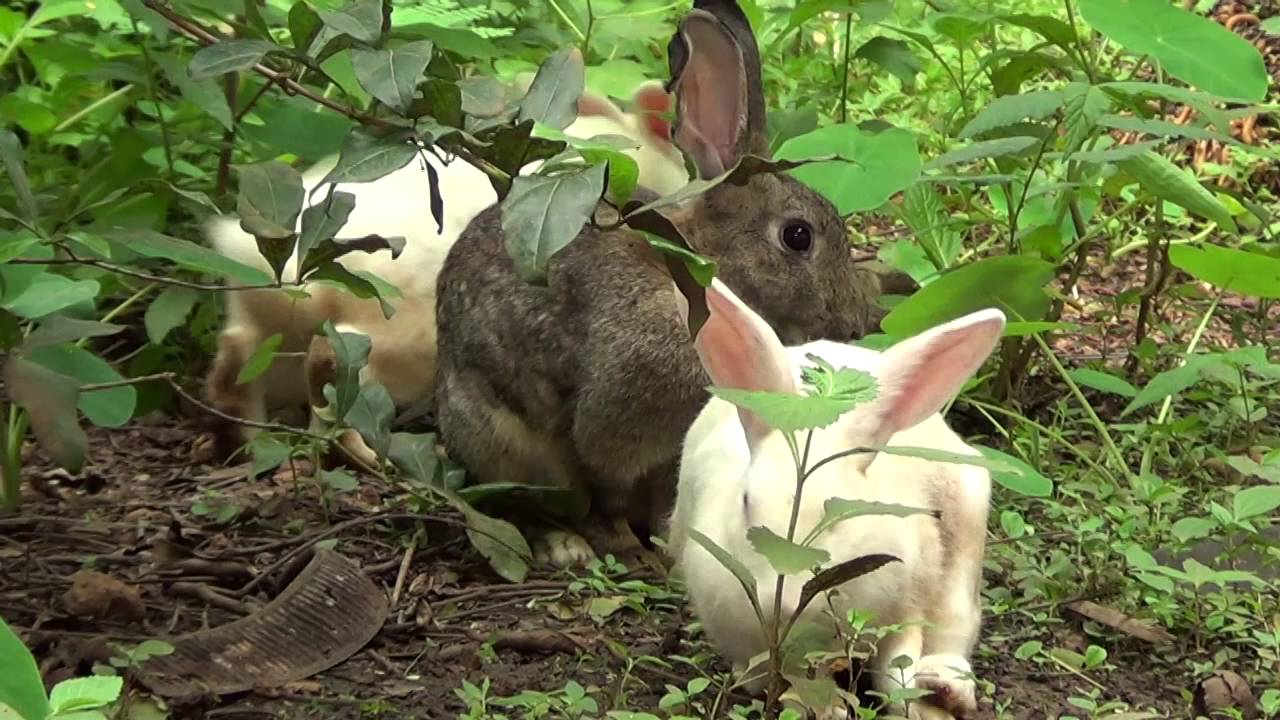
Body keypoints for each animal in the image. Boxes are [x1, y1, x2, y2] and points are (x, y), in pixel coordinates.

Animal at [202, 81, 690, 466]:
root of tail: (292, 265)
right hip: (404, 335)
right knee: (333, 365)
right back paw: (368, 455)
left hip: (264, 322)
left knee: (235, 361)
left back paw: (249, 439)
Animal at [433, 0, 885, 571]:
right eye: (798, 237)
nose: (852, 322)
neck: (703, 280)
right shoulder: (616, 422)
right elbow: (608, 491)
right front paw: (632, 550)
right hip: (505, 443)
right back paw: (563, 544)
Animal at [666, 277, 1004, 719]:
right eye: (746, 502)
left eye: (841, 516)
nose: (782, 602)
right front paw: (825, 708)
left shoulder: (908, 601)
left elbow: (898, 667)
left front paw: (920, 702)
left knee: (952, 632)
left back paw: (946, 686)